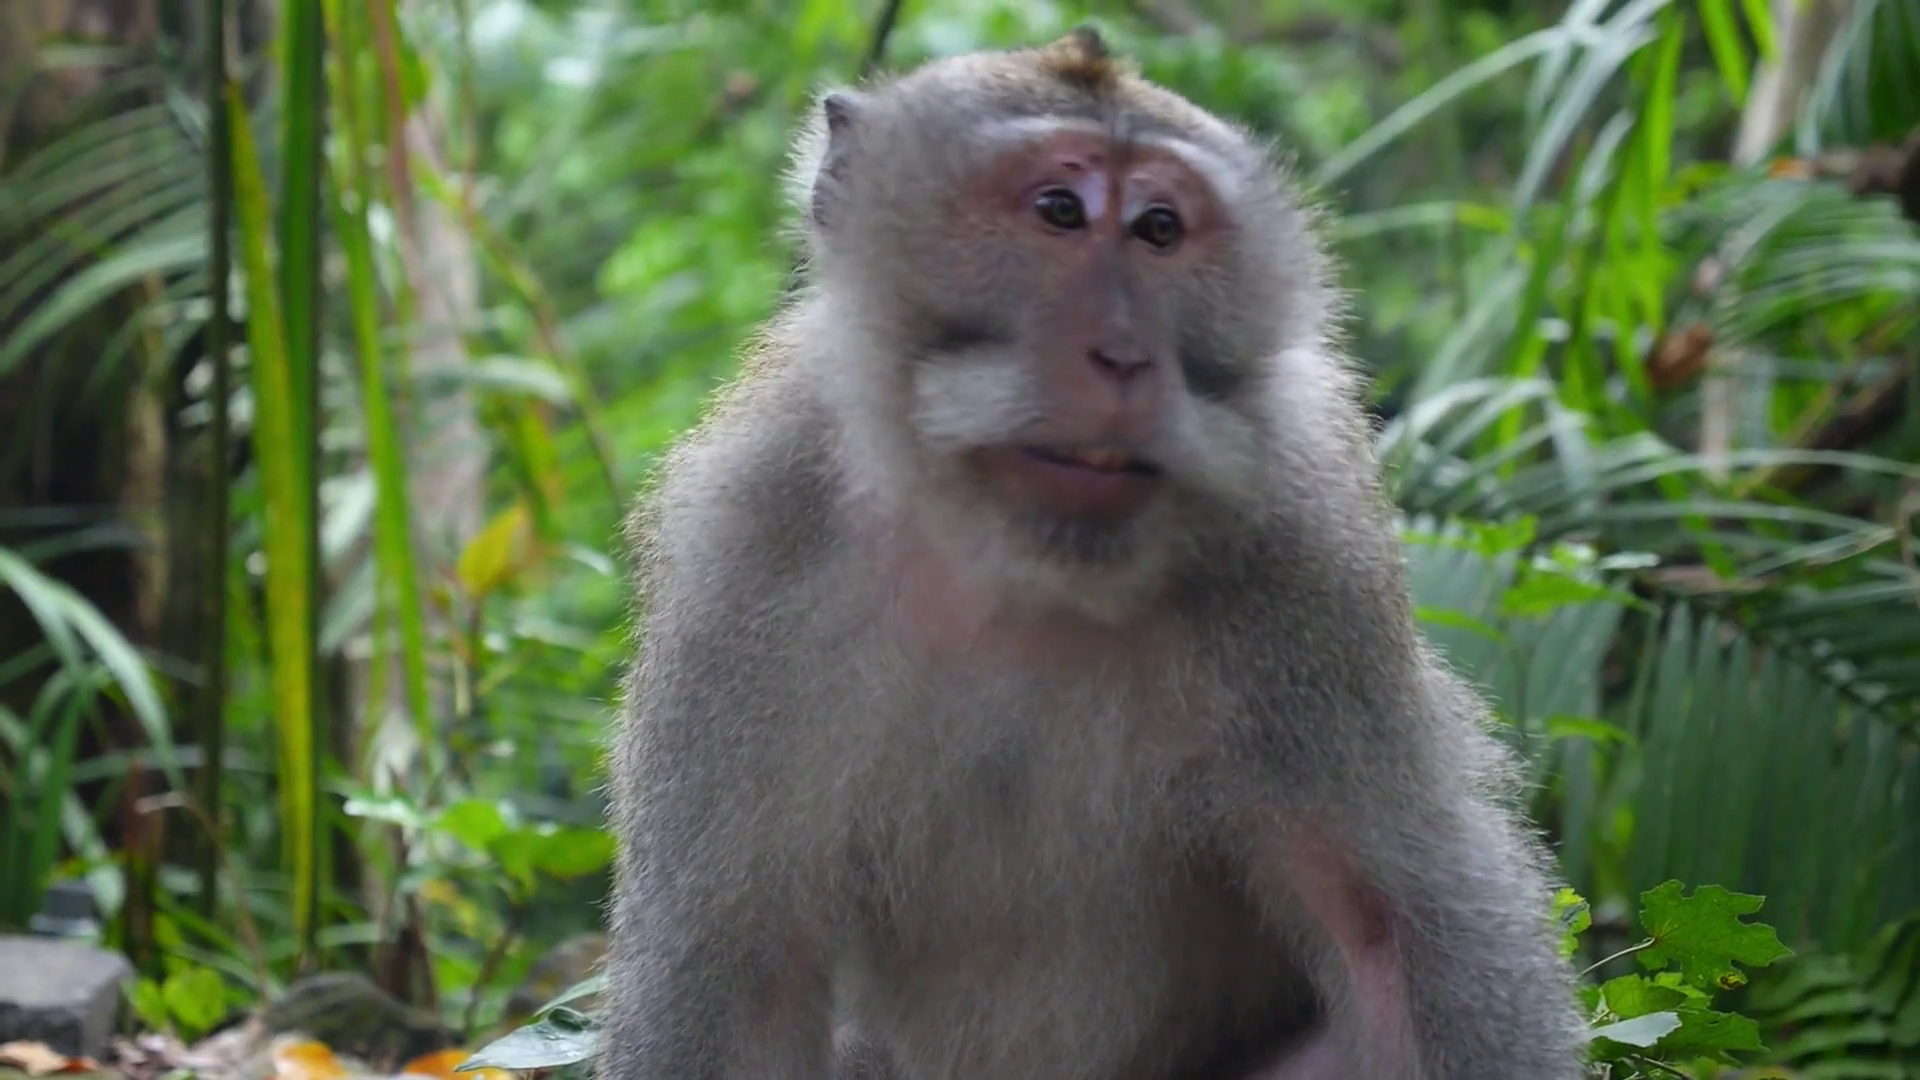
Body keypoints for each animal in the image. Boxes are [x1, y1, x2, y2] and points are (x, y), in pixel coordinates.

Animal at [600, 26, 1587, 1080]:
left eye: (1159, 229)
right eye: (1059, 211)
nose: (1122, 356)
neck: (1018, 568)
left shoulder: (1313, 556)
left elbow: (1390, 936)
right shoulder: (750, 543)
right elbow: (740, 977)